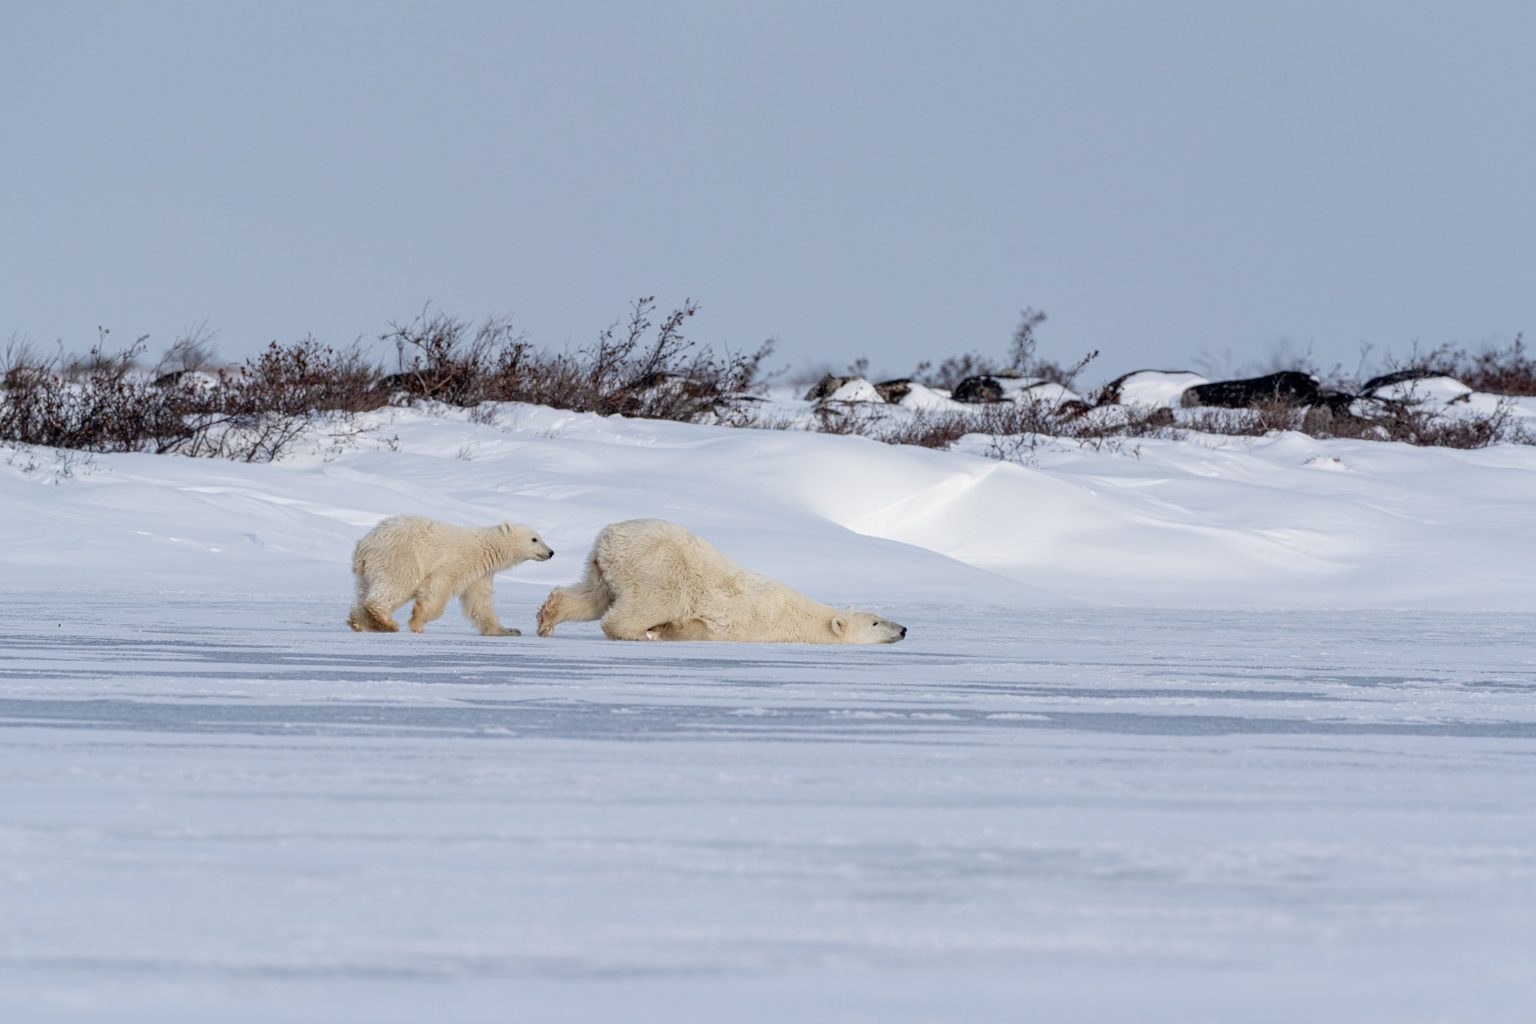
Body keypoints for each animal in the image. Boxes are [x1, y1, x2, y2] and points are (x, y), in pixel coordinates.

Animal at [347, 515, 554, 635]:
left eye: (540, 537)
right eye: (535, 539)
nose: (551, 552)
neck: (485, 548)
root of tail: (364, 545)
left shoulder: (481, 574)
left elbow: (480, 601)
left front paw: (507, 630)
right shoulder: (455, 562)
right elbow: (439, 588)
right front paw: (417, 621)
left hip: (370, 568)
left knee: (364, 590)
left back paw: (359, 622)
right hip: (401, 555)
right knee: (397, 584)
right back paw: (385, 622)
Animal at [536, 519, 906, 644]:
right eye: (876, 622)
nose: (904, 629)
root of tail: (610, 536)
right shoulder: (755, 625)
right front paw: (662, 632)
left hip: (603, 564)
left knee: (593, 595)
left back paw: (548, 619)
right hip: (656, 567)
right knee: (645, 604)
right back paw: (639, 633)